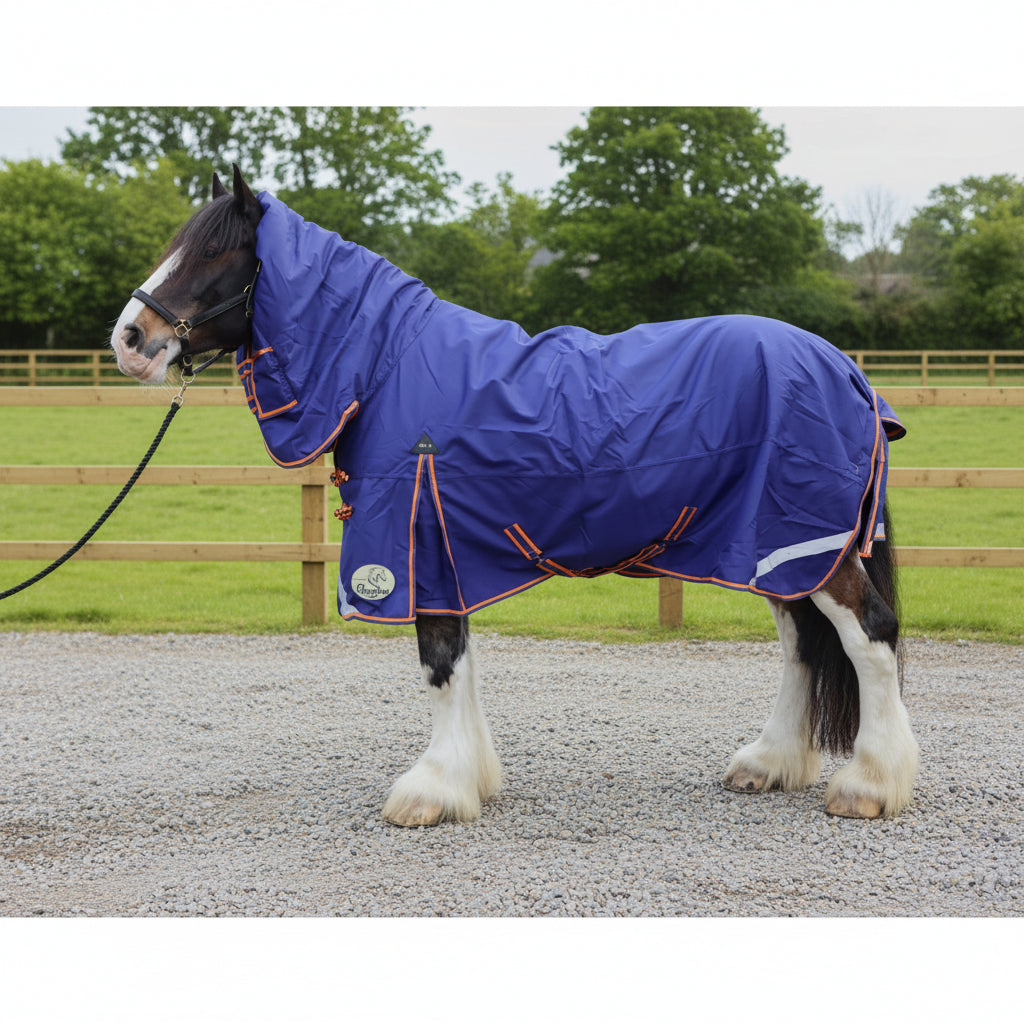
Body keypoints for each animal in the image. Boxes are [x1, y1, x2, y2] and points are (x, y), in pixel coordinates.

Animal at [111, 165, 920, 825]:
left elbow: (438, 664)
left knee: (869, 636)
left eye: (213, 253)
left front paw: (430, 792)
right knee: (803, 647)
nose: (129, 337)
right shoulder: (444, 549)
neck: (387, 367)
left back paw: (869, 786)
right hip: (774, 550)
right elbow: (460, 664)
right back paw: (770, 763)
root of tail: (847, 371)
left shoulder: (414, 538)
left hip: (808, 542)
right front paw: (468, 779)